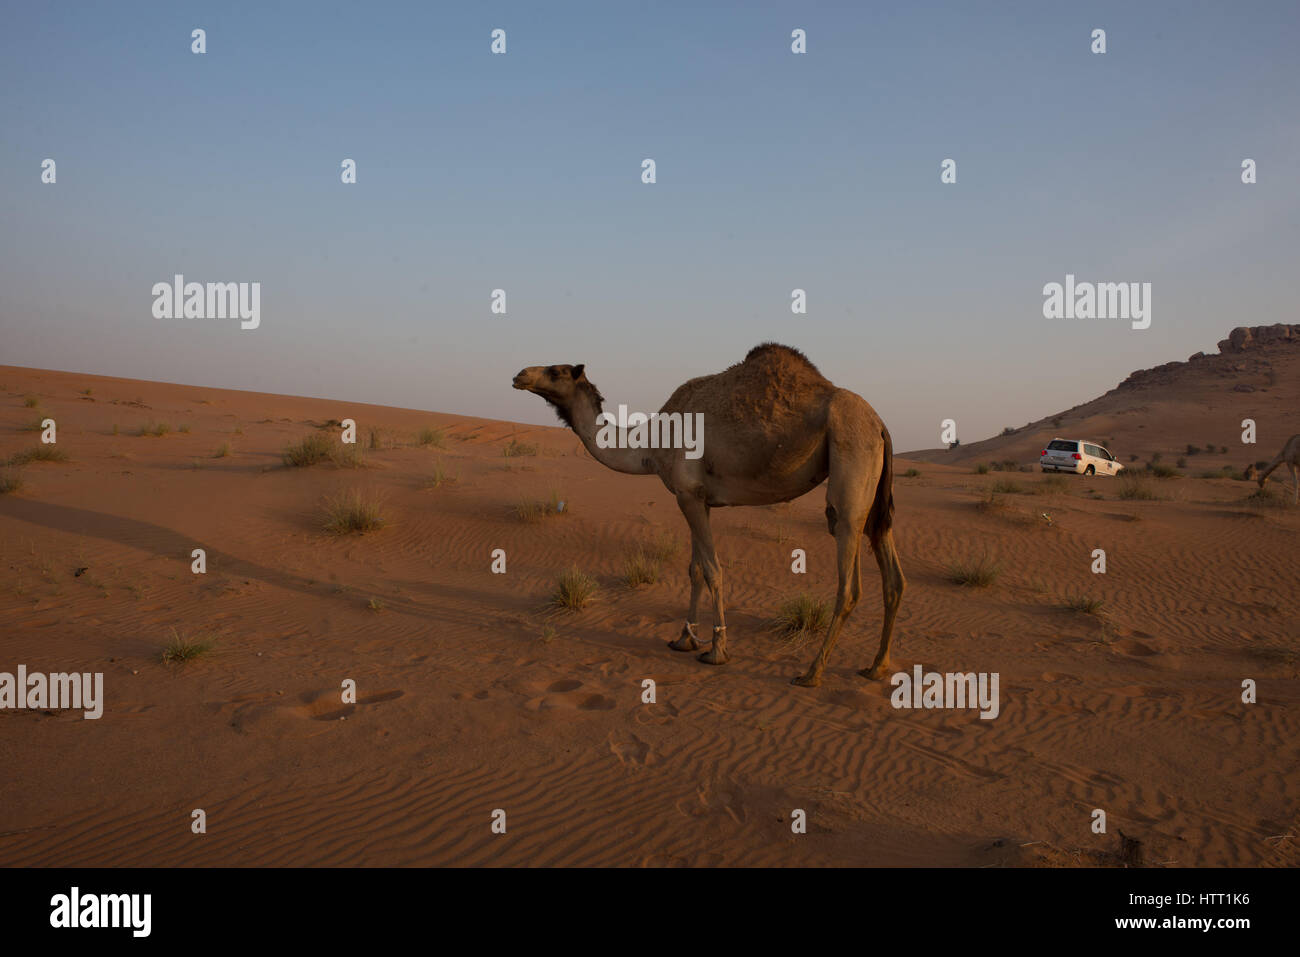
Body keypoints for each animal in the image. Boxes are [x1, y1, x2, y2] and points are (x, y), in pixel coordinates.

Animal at [511, 343, 905, 687]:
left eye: (557, 370)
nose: (519, 374)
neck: (650, 445)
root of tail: (880, 424)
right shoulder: (697, 499)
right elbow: (695, 569)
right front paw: (684, 639)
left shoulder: (687, 494)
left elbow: (713, 570)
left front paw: (717, 650)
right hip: (874, 490)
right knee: (893, 575)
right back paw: (876, 667)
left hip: (849, 466)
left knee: (849, 580)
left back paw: (811, 673)